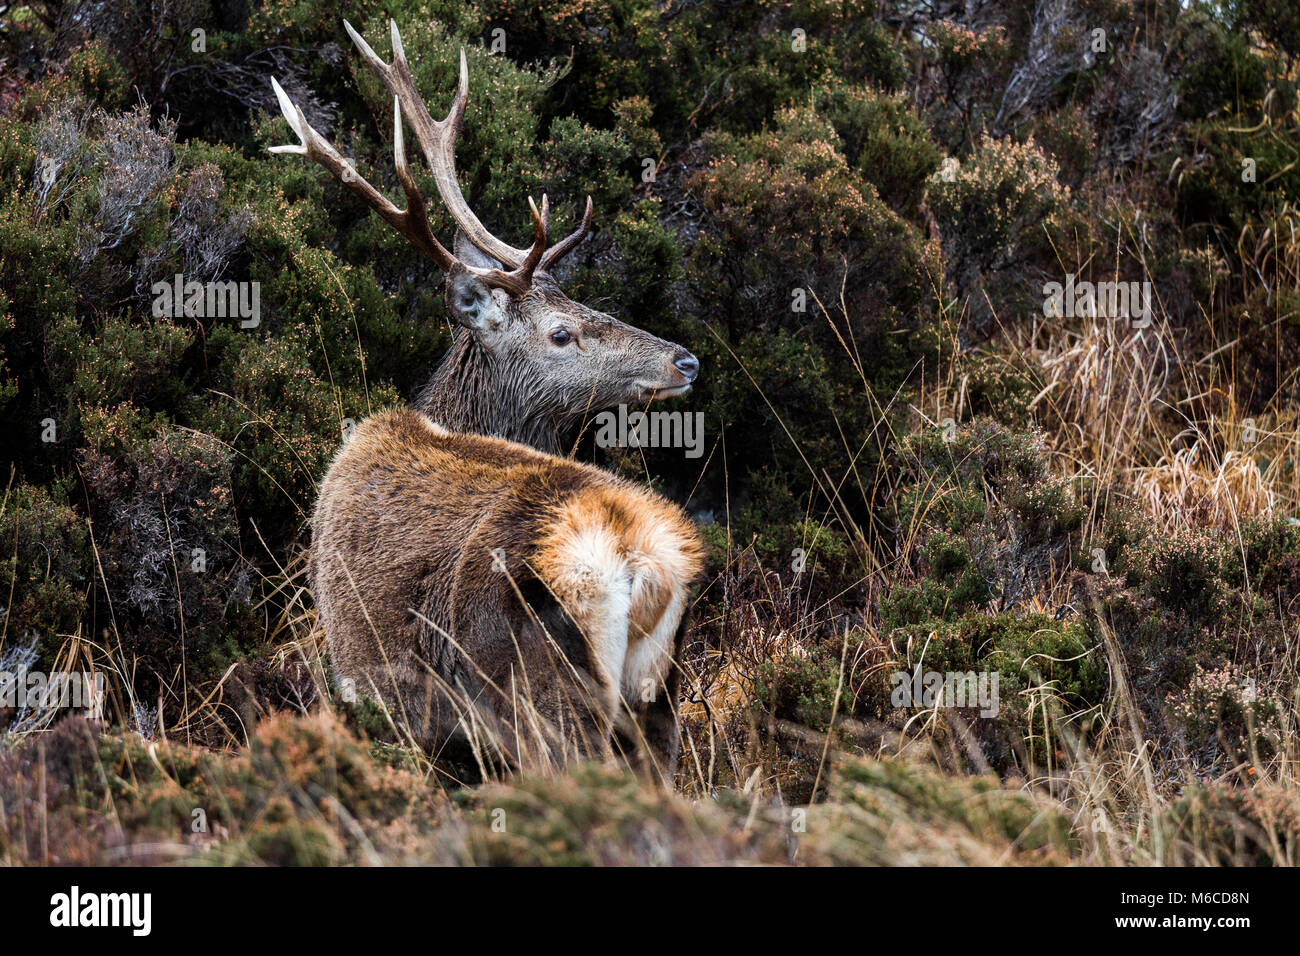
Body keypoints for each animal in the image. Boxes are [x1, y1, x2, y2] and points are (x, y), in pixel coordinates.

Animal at [269, 20, 704, 781]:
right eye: (563, 328)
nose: (686, 360)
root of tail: (640, 558)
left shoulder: (369, 681)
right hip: (657, 689)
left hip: (537, 695)